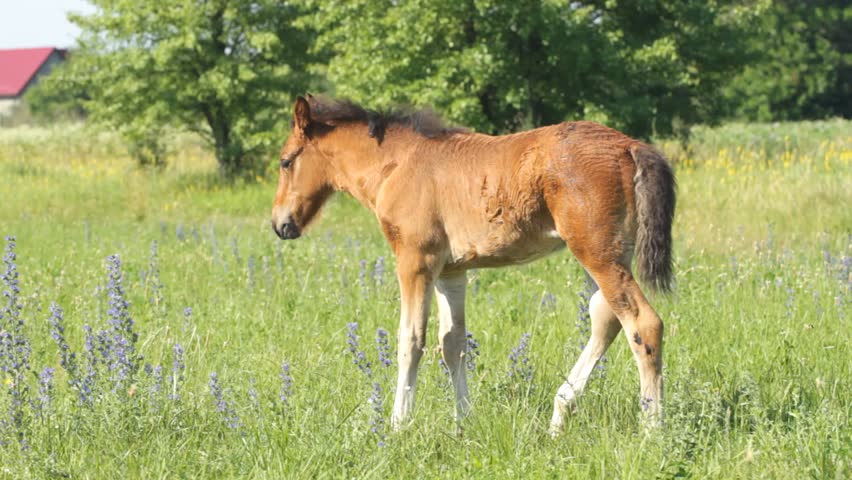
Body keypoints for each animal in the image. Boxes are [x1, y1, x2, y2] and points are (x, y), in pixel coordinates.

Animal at [271, 95, 675, 435]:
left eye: (286, 161)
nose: (280, 224)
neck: (397, 164)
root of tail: (630, 146)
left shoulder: (415, 261)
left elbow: (410, 340)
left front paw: (398, 425)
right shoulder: (451, 271)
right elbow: (452, 343)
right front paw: (463, 420)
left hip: (596, 252)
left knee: (643, 324)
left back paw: (651, 430)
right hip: (608, 255)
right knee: (606, 318)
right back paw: (560, 415)